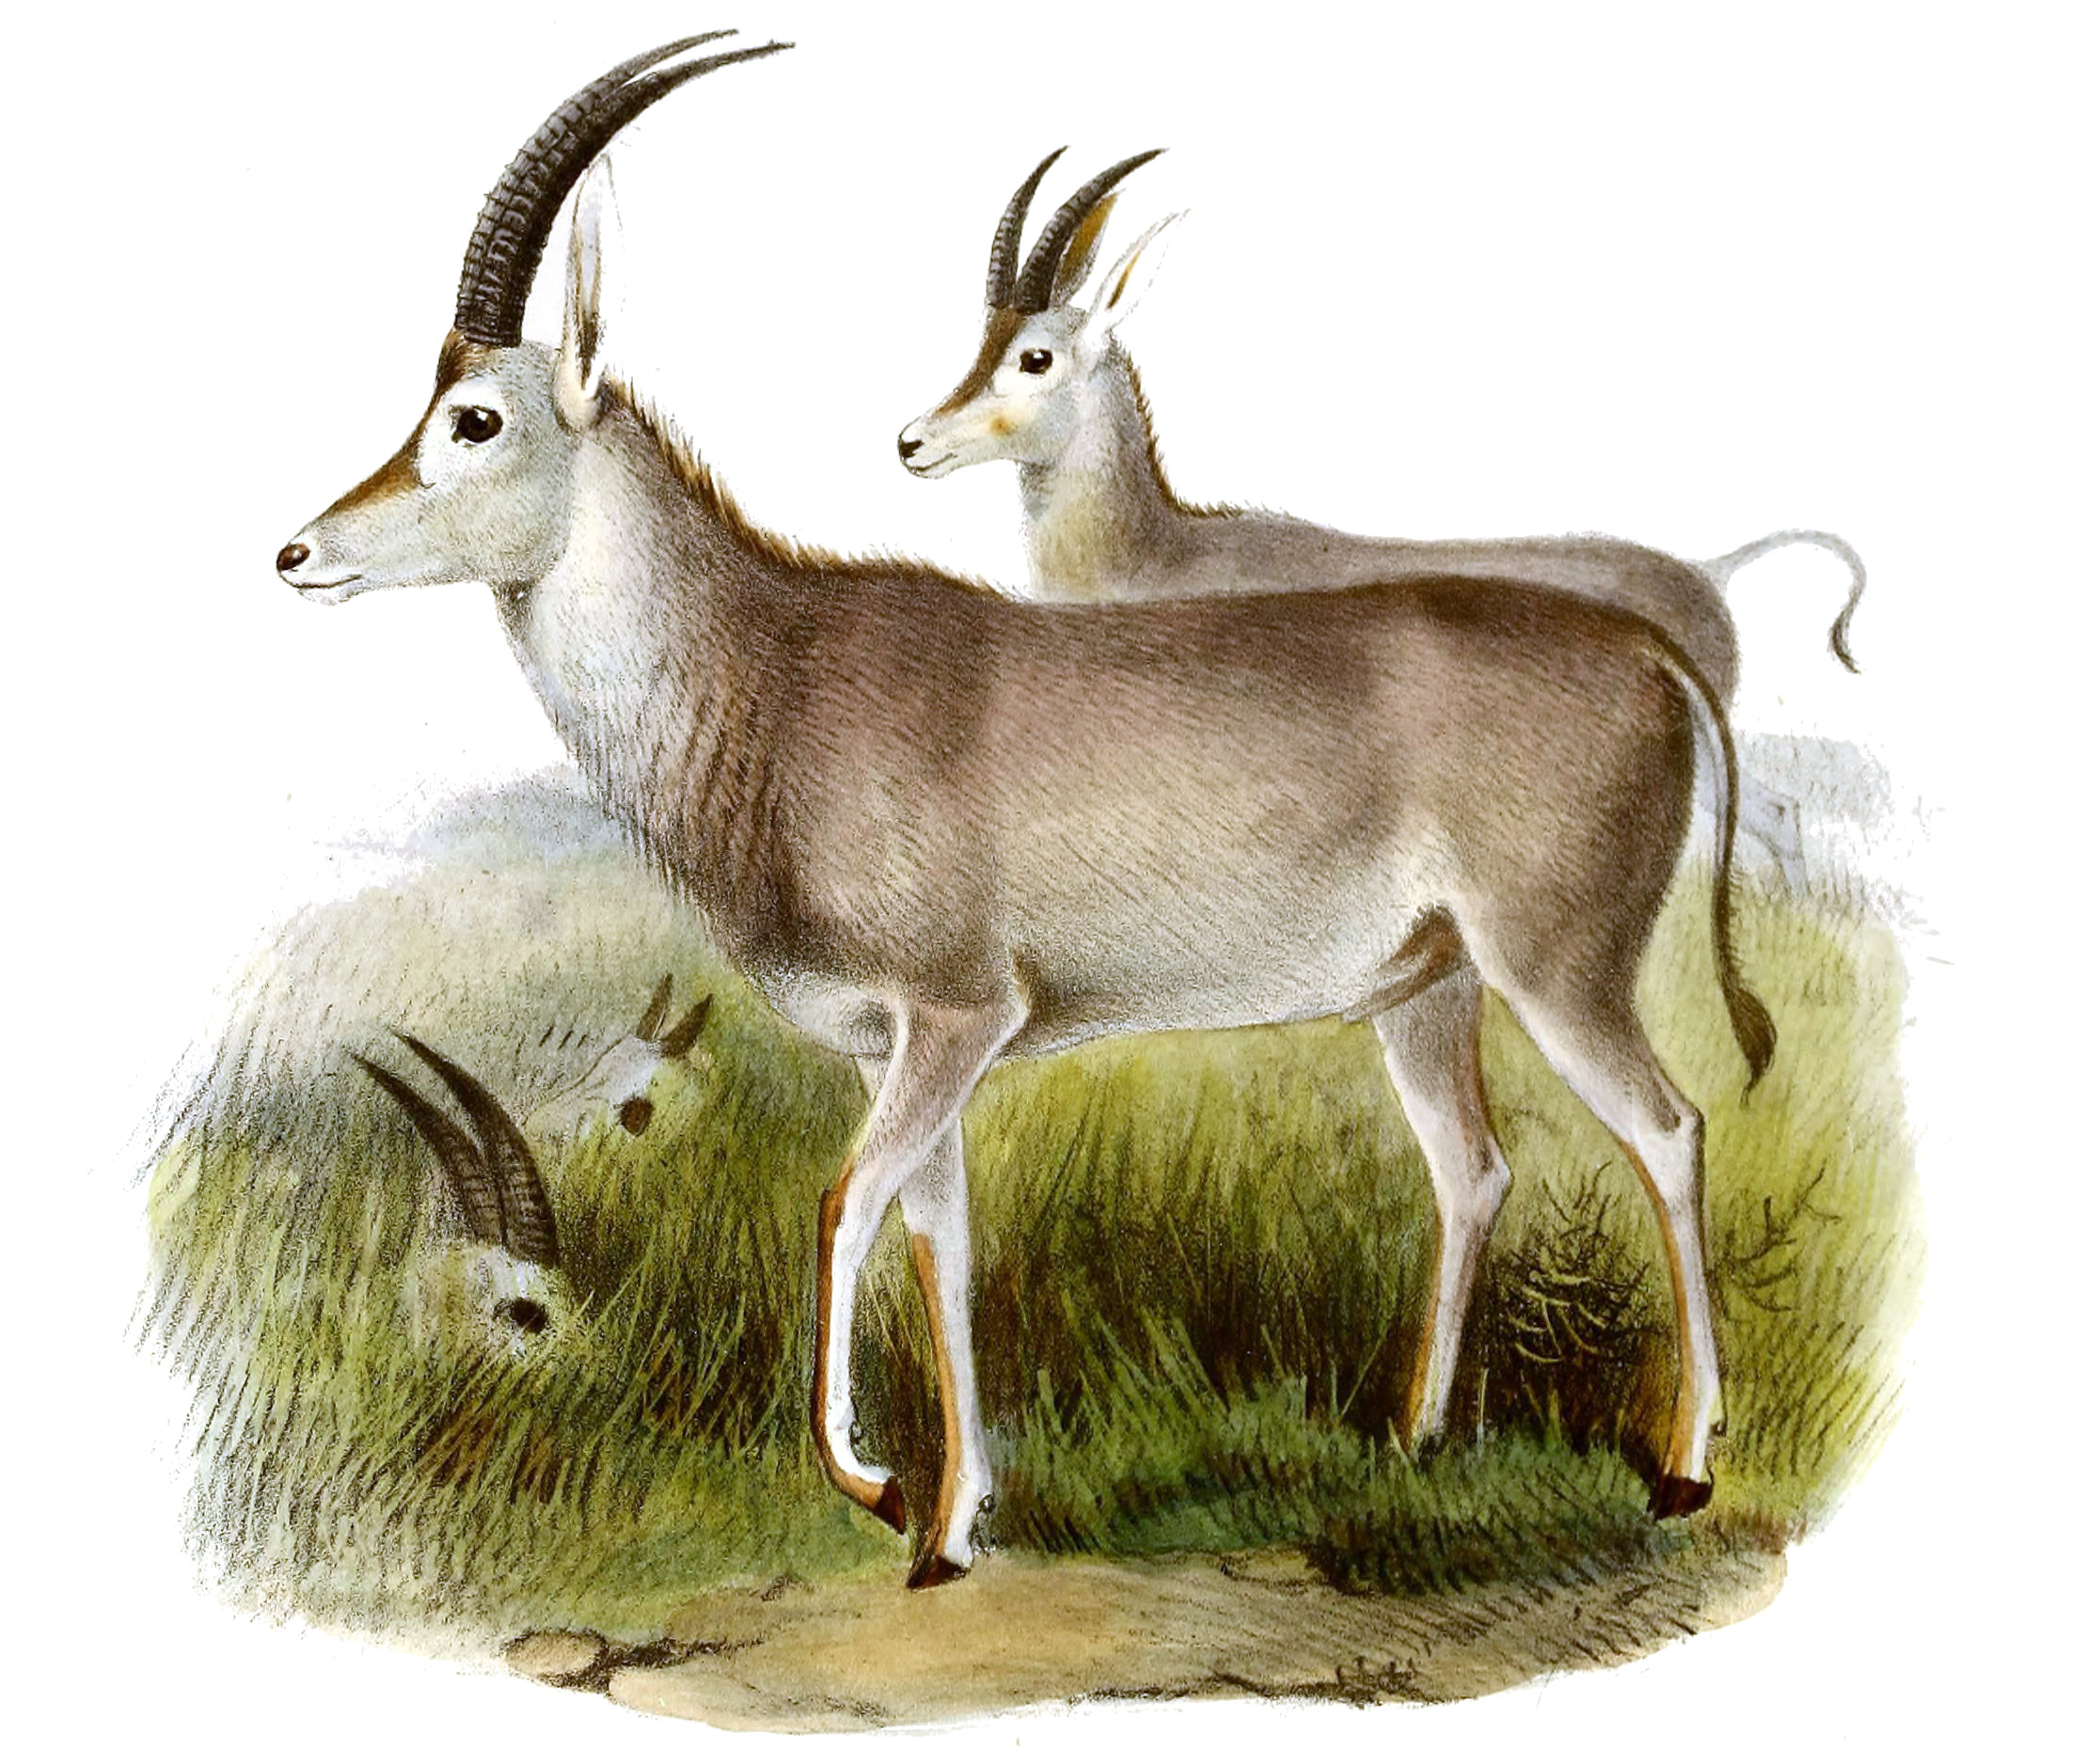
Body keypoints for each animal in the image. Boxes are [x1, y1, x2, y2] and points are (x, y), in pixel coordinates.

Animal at [897, 151, 1868, 888]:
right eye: (982, 341)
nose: (912, 442)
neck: (1157, 551)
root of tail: (1710, 571)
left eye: (1035, 357)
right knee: (1777, 813)